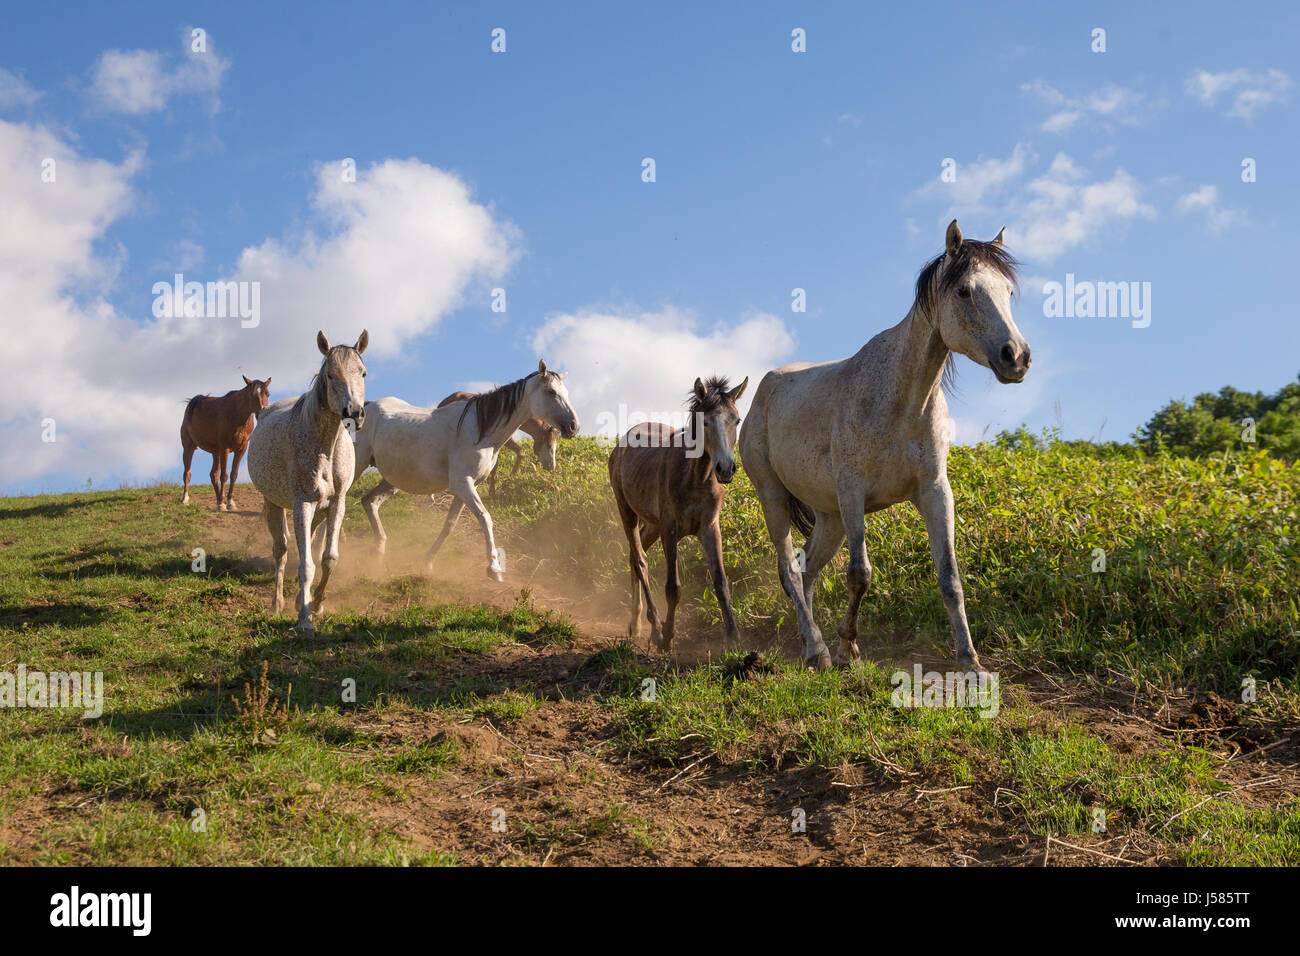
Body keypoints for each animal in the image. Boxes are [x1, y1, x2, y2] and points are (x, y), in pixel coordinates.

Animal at [180, 375, 271, 511]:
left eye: (267, 394)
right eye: (252, 394)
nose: (262, 412)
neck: (237, 414)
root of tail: (193, 403)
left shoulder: (241, 449)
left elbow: (233, 474)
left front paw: (229, 502)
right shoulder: (225, 448)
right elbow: (224, 475)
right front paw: (224, 504)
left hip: (215, 452)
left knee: (213, 475)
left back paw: (219, 500)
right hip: (188, 446)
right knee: (187, 472)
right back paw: (185, 499)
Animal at [246, 330, 369, 635]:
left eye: (362, 372)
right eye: (330, 375)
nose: (355, 413)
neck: (325, 446)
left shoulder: (337, 503)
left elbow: (328, 558)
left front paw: (316, 604)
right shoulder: (302, 503)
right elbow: (306, 565)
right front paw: (304, 619)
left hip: (319, 510)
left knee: (310, 543)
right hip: (274, 505)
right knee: (281, 550)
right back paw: (278, 603)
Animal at [352, 361, 578, 582]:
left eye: (566, 392)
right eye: (550, 391)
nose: (573, 427)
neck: (480, 430)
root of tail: (368, 407)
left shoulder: (466, 488)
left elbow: (449, 525)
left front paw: (428, 563)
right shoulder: (463, 483)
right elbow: (485, 517)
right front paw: (494, 568)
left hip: (393, 480)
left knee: (369, 502)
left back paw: (378, 554)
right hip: (357, 466)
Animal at [608, 375, 748, 652]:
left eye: (736, 420)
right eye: (704, 421)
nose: (726, 468)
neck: (695, 476)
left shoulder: (709, 527)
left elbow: (721, 582)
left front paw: (734, 637)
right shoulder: (670, 529)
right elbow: (673, 587)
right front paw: (668, 635)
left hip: (653, 524)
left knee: (635, 554)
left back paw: (638, 623)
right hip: (626, 510)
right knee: (640, 559)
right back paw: (653, 626)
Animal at [738, 220, 1030, 671]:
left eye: (1008, 292)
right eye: (965, 291)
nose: (1016, 356)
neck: (901, 400)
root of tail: (765, 387)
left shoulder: (934, 491)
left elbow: (950, 577)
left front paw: (971, 663)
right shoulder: (852, 491)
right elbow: (860, 574)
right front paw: (847, 650)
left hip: (831, 519)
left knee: (806, 574)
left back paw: (810, 644)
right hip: (774, 496)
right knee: (789, 569)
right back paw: (818, 649)